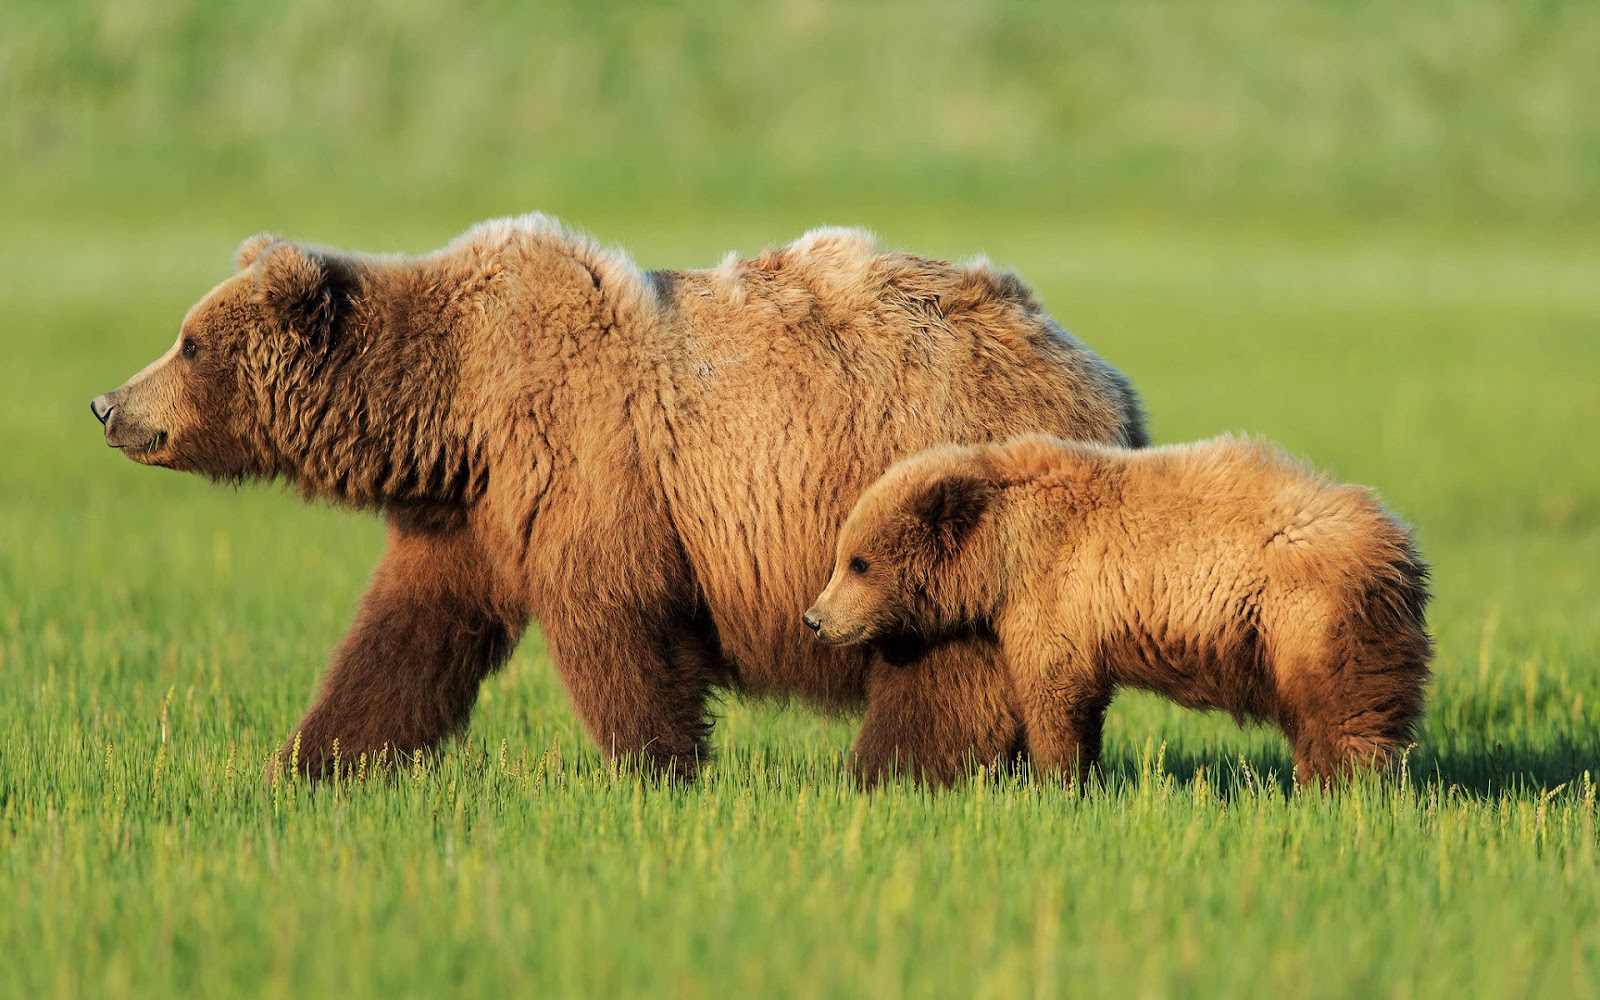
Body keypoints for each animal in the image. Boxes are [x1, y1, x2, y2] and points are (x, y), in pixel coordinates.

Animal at [89, 215, 1147, 784]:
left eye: (188, 343)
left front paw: (660, 771)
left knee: (940, 668)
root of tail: (1112, 384)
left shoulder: (586, 461)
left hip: (937, 502)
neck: (455, 407)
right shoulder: (472, 517)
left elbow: (618, 624)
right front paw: (310, 765)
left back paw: (888, 775)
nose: (107, 405)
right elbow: (407, 639)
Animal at [803, 433, 1432, 786]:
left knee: (1343, 716)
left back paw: (1339, 791)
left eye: (858, 563)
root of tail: (1401, 550)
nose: (815, 618)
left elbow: (1055, 693)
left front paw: (1057, 781)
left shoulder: (1051, 593)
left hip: (1308, 619)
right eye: (842, 557)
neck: (1000, 551)